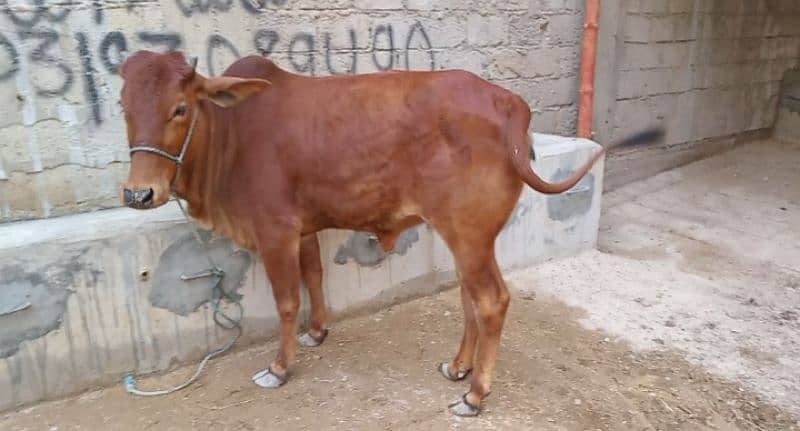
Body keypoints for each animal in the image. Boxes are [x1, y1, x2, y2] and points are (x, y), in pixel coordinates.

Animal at [118, 50, 661, 416]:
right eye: (123, 106)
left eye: (180, 108)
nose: (139, 193)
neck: (232, 135)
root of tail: (509, 104)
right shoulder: (304, 228)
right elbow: (314, 278)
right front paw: (318, 332)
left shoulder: (275, 231)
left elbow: (287, 301)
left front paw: (279, 367)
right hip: (467, 236)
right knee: (470, 297)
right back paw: (457, 367)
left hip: (468, 234)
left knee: (491, 301)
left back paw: (475, 393)